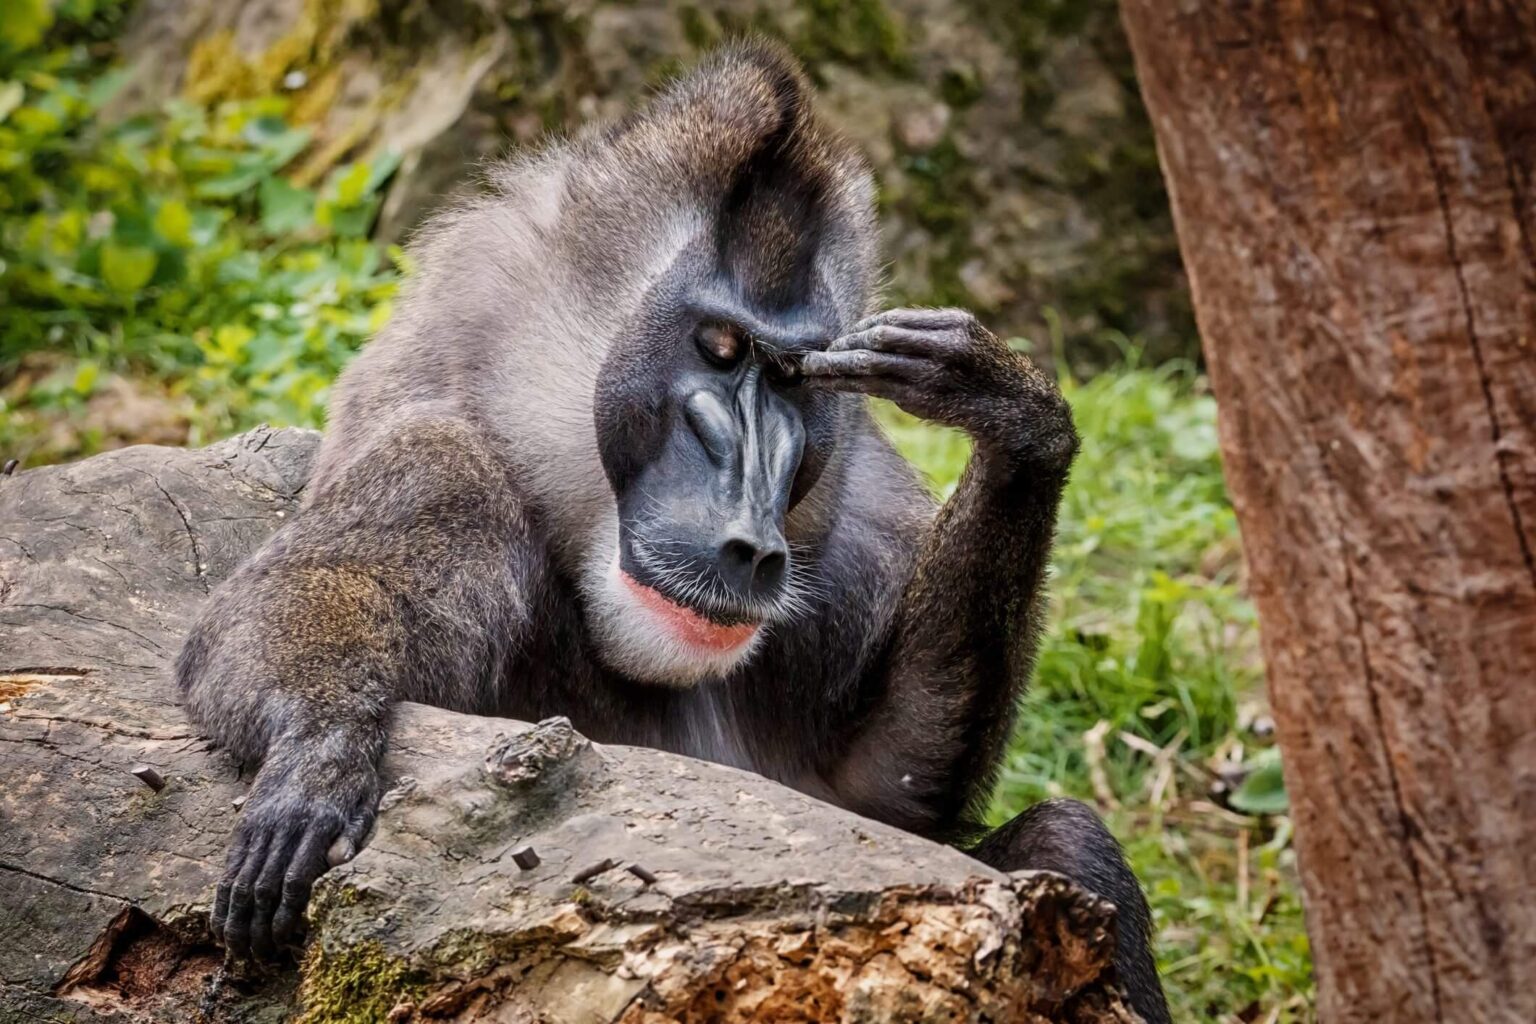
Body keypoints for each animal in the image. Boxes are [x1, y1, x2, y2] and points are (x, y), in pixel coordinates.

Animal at [175, 41, 1171, 1023]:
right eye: (717, 351)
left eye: (792, 377)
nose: (753, 544)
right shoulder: (435, 465)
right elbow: (280, 606)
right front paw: (315, 767)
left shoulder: (866, 544)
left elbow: (889, 788)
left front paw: (1009, 411)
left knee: (1068, 834)